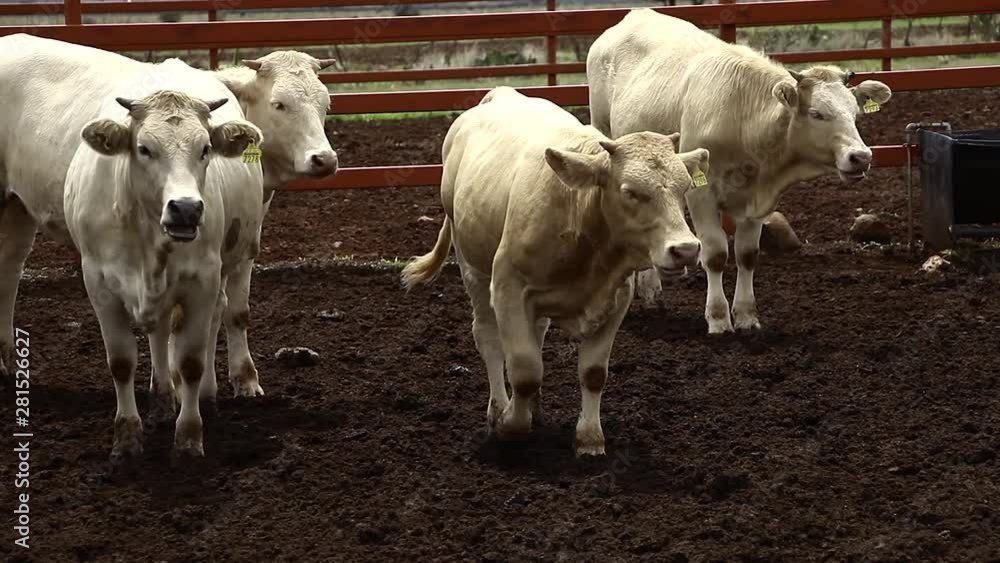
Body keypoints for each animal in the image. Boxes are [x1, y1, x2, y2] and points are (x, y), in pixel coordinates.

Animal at [0, 35, 338, 400]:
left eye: (326, 105)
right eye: (279, 104)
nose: (324, 159)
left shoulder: (241, 243)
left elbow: (232, 311)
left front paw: (238, 380)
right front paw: (182, 382)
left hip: (18, 209)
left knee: (9, 270)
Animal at [64, 90, 261, 458]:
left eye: (205, 148)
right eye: (144, 148)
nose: (185, 208)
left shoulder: (202, 282)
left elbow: (191, 362)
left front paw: (189, 437)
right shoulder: (99, 286)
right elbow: (121, 362)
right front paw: (127, 437)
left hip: (240, 256)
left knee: (227, 314)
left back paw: (215, 392)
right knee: (160, 331)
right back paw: (162, 400)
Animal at [402, 87, 708, 456]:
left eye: (684, 187)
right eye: (631, 192)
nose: (686, 249)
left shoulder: (616, 299)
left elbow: (593, 373)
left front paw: (589, 438)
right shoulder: (507, 287)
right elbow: (524, 369)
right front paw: (510, 425)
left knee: (536, 334)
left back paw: (534, 410)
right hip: (471, 267)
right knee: (488, 337)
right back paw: (498, 409)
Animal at [587, 9, 892, 334]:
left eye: (856, 113)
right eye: (817, 114)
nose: (861, 157)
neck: (743, 119)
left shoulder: (758, 200)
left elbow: (746, 255)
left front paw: (746, 315)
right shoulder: (701, 193)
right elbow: (715, 254)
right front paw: (719, 318)